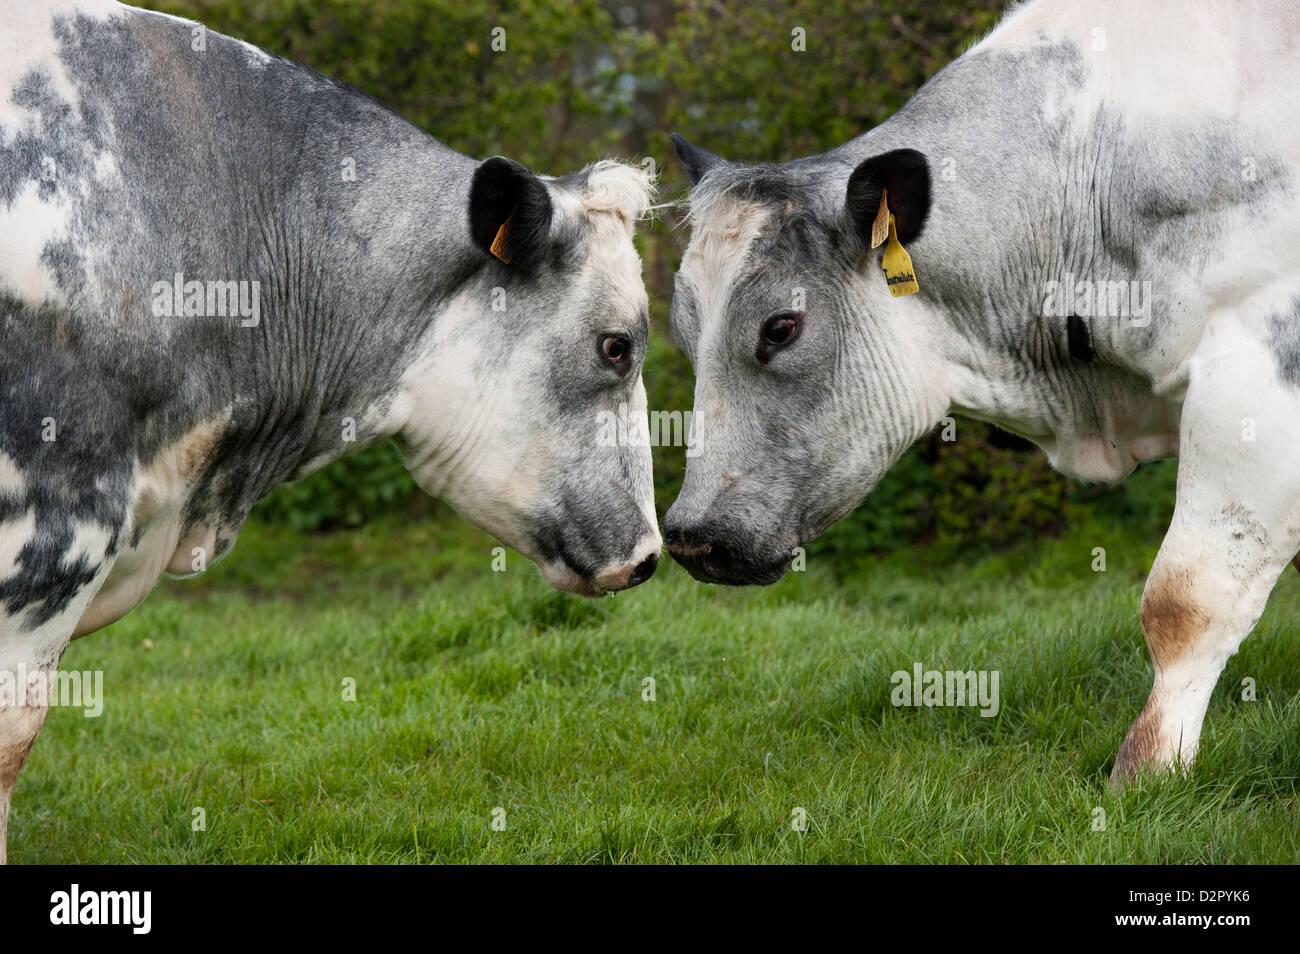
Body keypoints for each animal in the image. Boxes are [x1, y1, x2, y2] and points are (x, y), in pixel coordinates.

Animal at [665, 0, 1300, 784]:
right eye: (681, 329)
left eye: (780, 327)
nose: (692, 534)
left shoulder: (1256, 374)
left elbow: (1185, 601)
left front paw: (1148, 771)